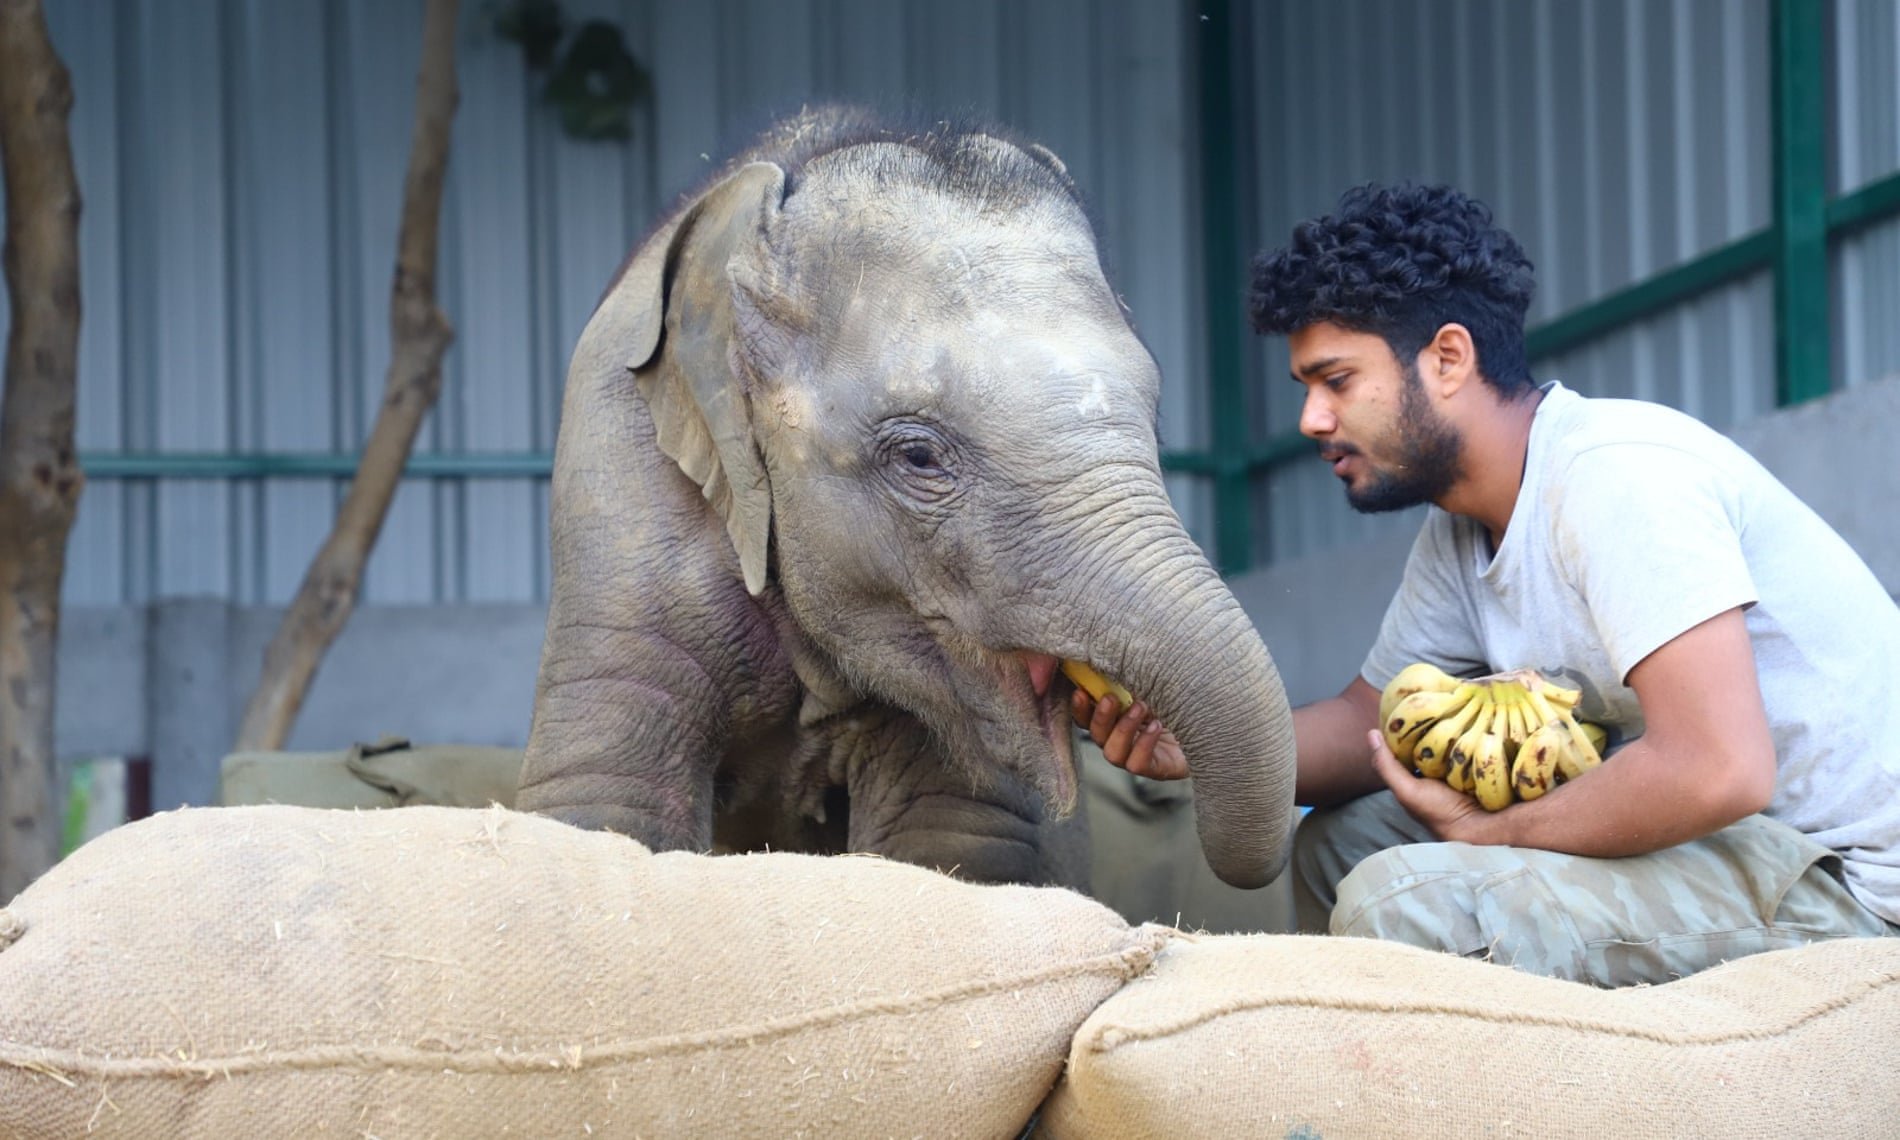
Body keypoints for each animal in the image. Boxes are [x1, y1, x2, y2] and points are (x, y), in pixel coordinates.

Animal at [516, 106, 1297, 890]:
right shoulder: (621, 485)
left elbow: (947, 844)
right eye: (919, 455)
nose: (1151, 738)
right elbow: (610, 803)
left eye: (1156, 421)